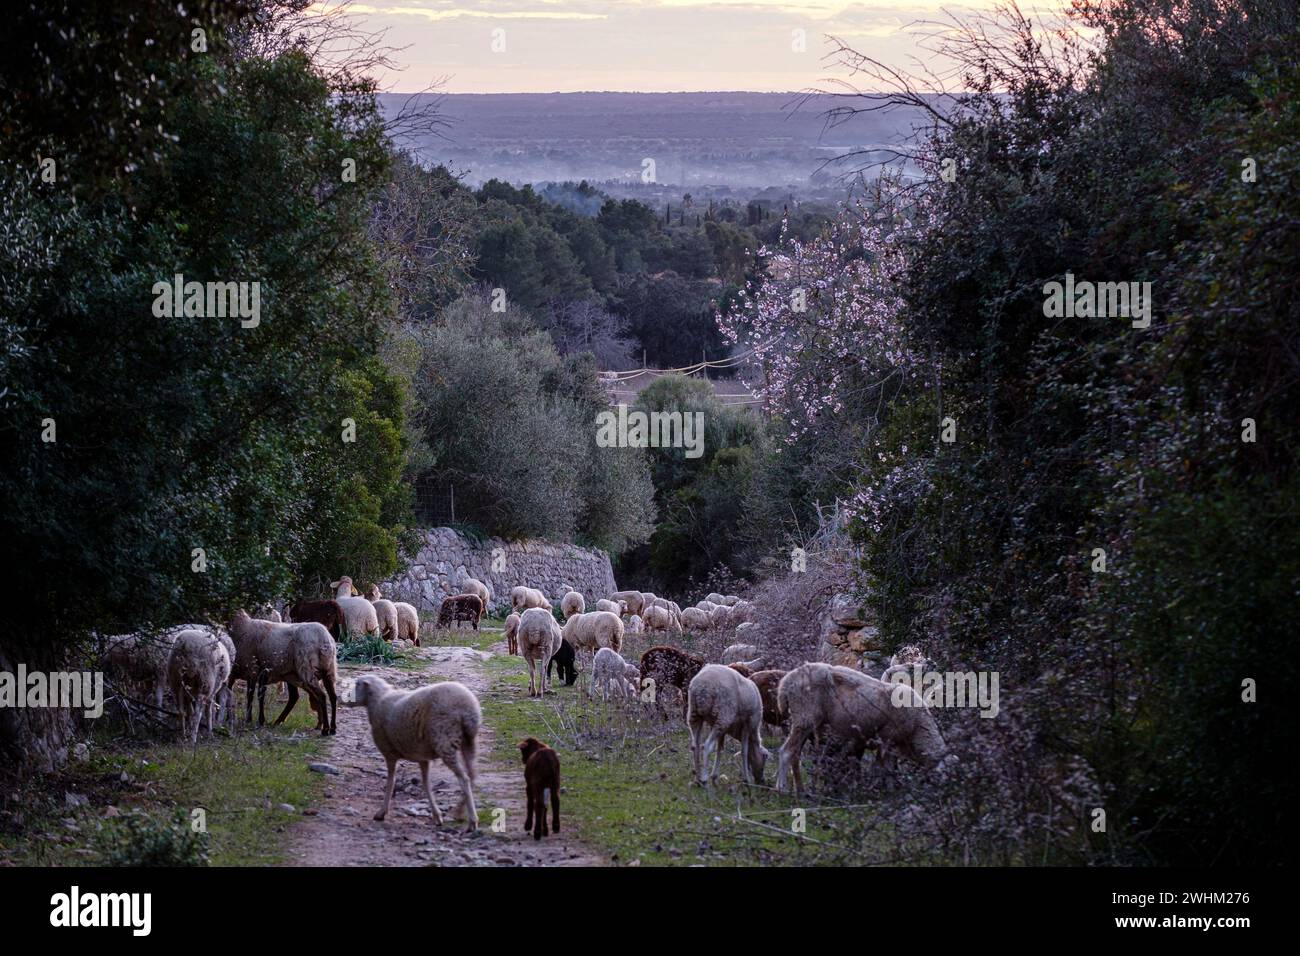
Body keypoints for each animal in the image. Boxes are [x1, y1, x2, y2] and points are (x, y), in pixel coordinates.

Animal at [345, 675, 480, 830]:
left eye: (357, 684)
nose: (341, 698)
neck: (378, 701)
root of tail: (467, 709)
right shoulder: (423, 757)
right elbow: (426, 784)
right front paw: (437, 815)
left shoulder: (389, 753)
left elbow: (391, 782)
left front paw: (382, 812)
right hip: (468, 742)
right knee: (472, 776)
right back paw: (460, 811)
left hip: (445, 741)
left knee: (464, 779)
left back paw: (472, 821)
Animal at [775, 662, 948, 796]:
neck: (918, 729)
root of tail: (787, 682)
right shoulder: (888, 738)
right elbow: (886, 767)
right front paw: (889, 791)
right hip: (805, 717)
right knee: (786, 751)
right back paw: (782, 789)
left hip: (807, 722)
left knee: (795, 754)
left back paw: (801, 790)